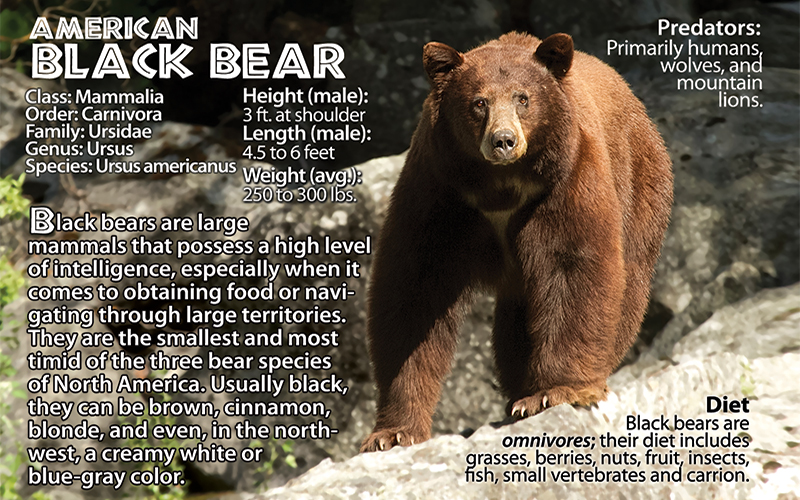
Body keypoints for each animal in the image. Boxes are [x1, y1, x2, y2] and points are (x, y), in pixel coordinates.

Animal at [360, 32, 673, 452]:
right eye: (479, 102)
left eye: (523, 98)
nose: (503, 140)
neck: (500, 186)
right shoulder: (439, 191)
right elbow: (414, 290)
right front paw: (393, 432)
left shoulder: (565, 182)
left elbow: (573, 268)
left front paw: (555, 391)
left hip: (640, 186)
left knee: (628, 287)